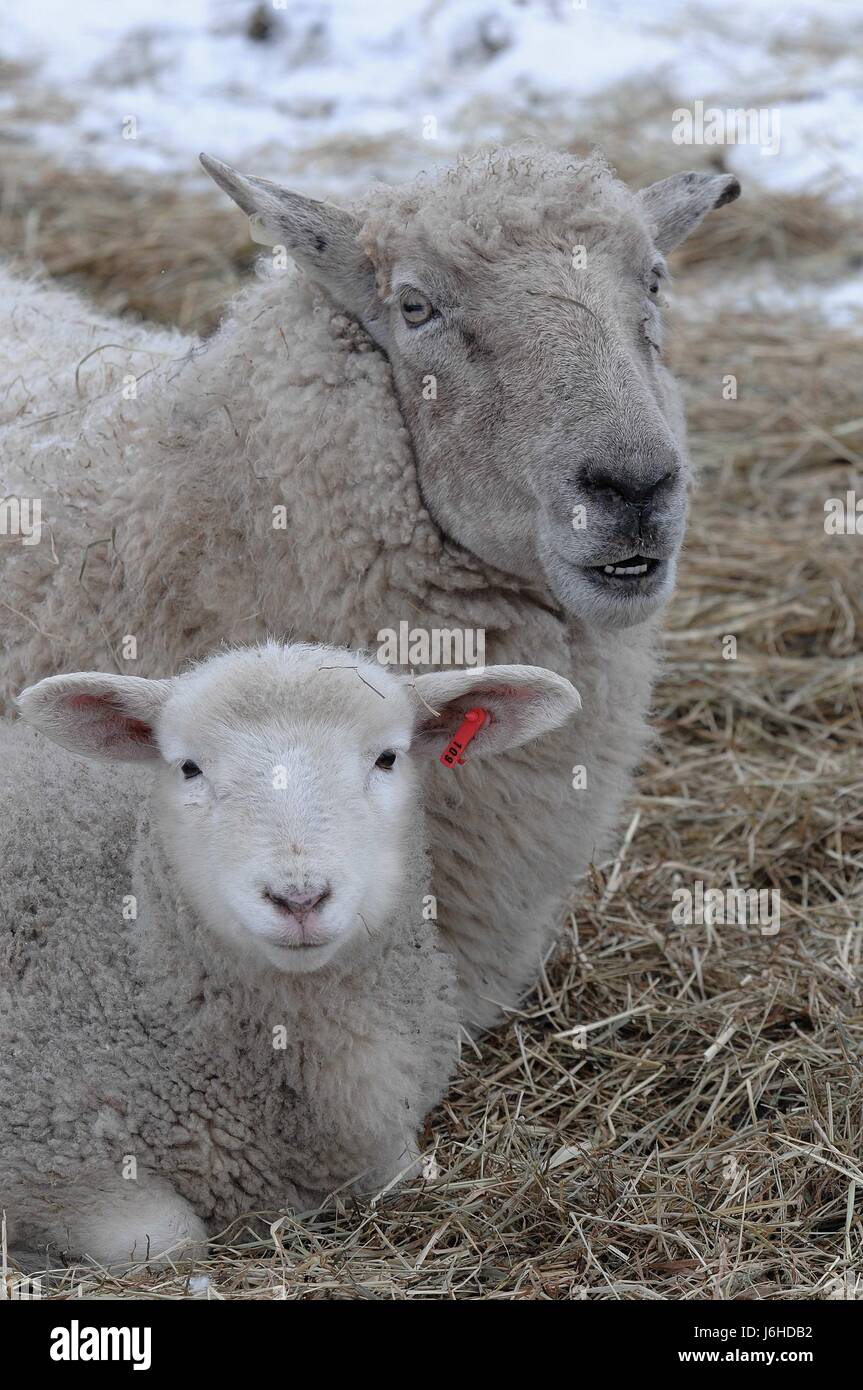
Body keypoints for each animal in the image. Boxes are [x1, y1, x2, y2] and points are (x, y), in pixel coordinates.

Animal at [0, 640, 580, 1267]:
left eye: (387, 759)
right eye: (189, 767)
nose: (299, 898)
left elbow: (405, 1174)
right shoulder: (48, 1154)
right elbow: (169, 1240)